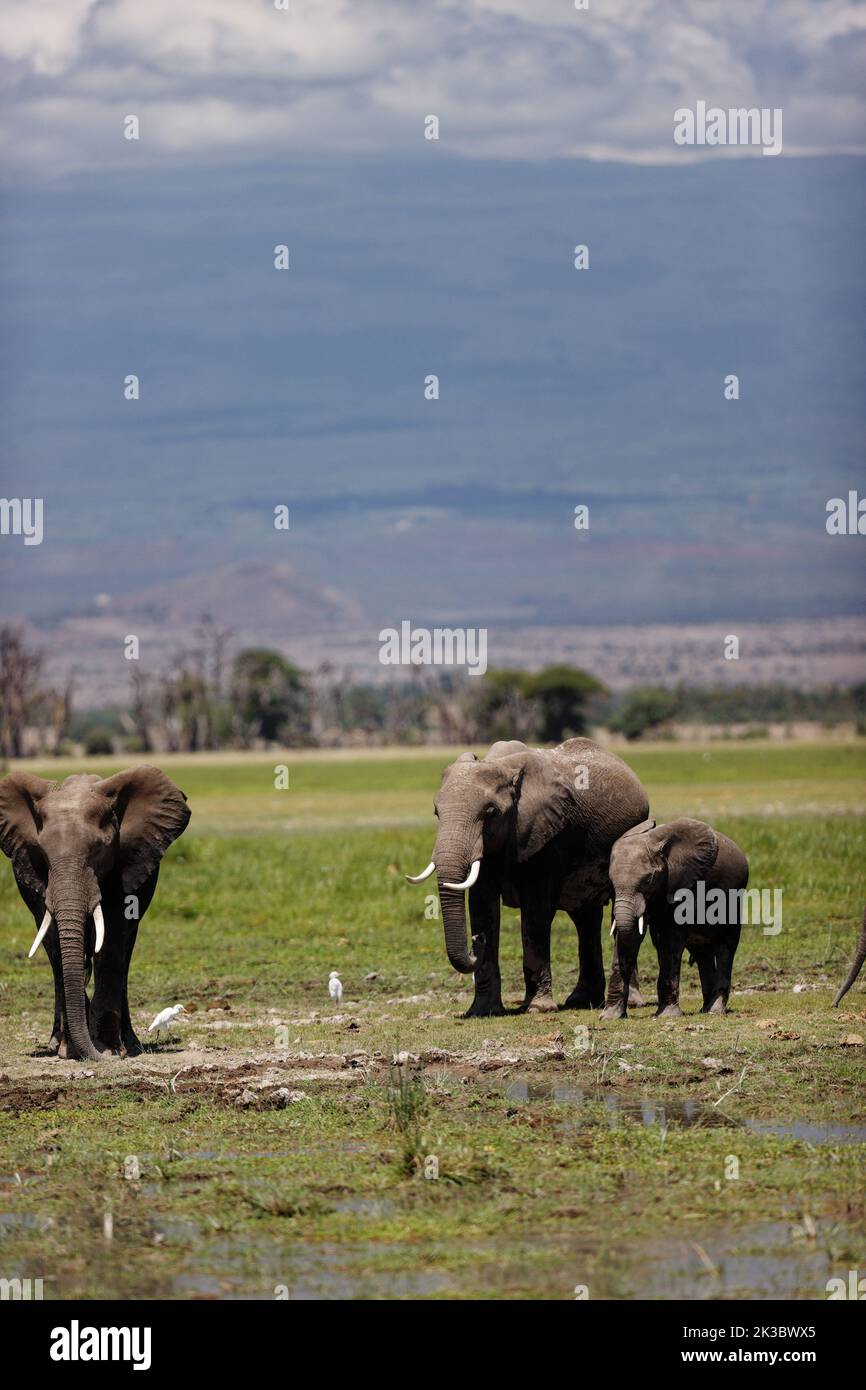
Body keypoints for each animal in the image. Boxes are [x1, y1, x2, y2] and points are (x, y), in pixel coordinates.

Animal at [0, 766, 190, 1061]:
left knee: (125, 952)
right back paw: (57, 1044)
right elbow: (54, 938)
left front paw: (108, 1049)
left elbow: (112, 937)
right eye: (42, 852)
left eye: (99, 850)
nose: (94, 1054)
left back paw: (129, 1045)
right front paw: (71, 1051)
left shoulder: (125, 861)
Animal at [404, 738, 649, 1016]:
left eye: (490, 812)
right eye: (436, 812)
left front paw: (538, 1008)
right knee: (585, 918)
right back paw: (581, 1001)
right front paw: (483, 1011)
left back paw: (631, 1002)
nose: (476, 941)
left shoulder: (545, 836)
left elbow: (535, 914)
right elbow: (482, 908)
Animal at [600, 817, 748, 1020]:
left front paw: (667, 1015)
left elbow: (670, 940)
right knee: (702, 950)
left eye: (649, 880)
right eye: (612, 881)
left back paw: (715, 1011)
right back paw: (705, 1009)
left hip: (733, 899)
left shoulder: (681, 884)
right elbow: (630, 937)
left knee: (725, 947)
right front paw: (611, 1017)